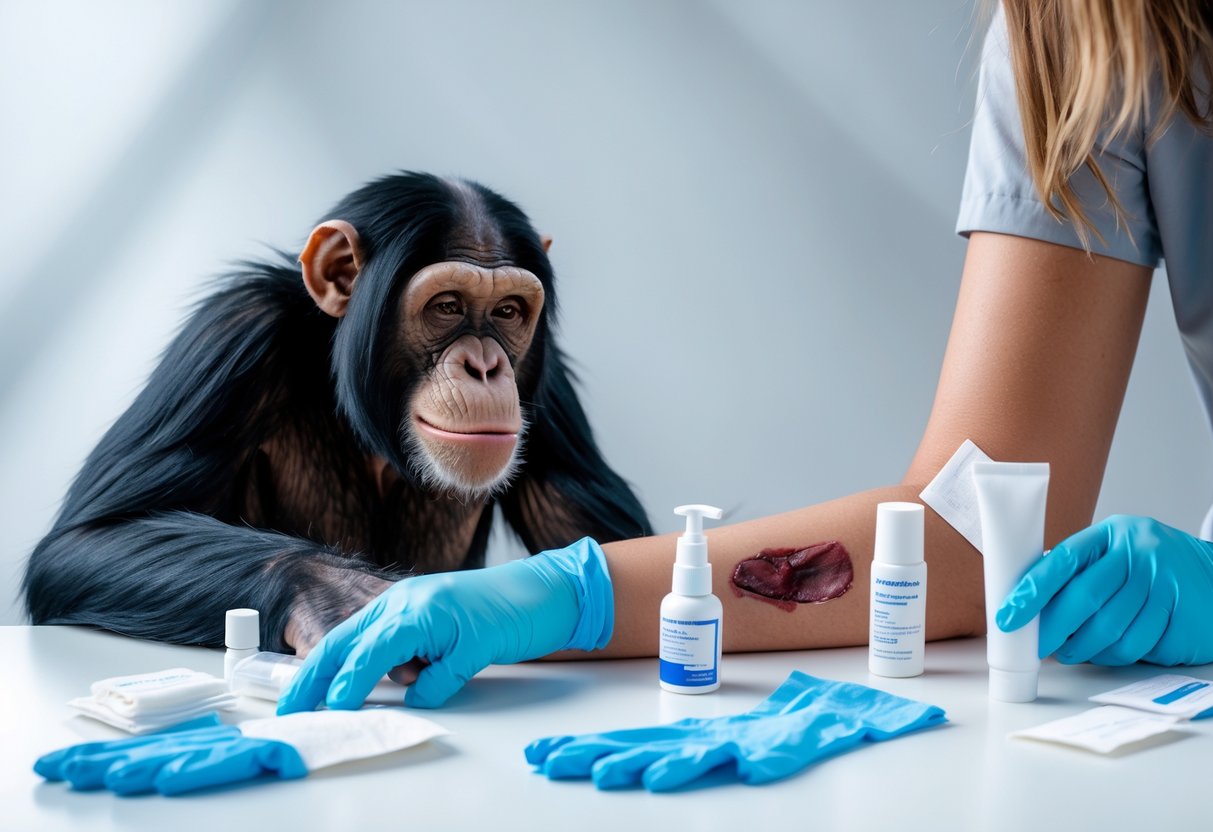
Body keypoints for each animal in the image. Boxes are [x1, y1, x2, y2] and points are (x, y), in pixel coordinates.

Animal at [23, 171, 651, 655]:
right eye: (447, 306)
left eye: (508, 311)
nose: (485, 365)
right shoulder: (234, 332)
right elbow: (87, 540)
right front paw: (337, 593)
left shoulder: (550, 383)